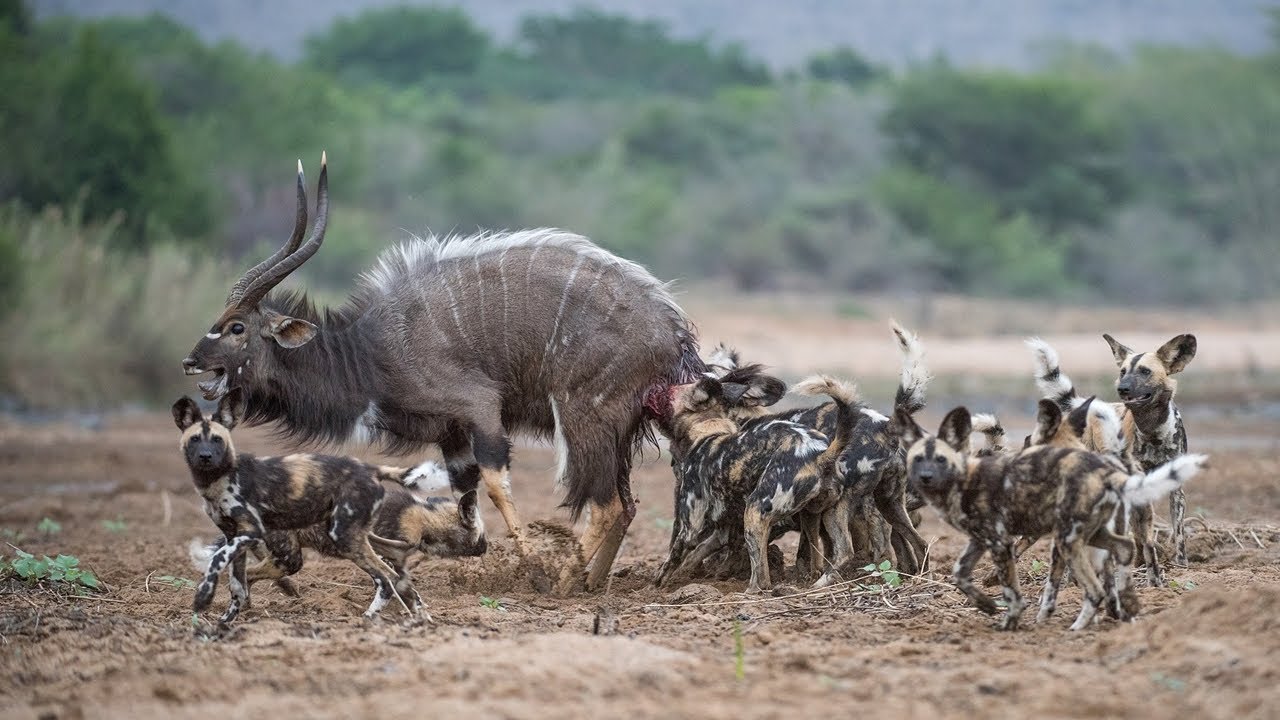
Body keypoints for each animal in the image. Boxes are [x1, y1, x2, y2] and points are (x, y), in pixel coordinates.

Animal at [181, 155, 704, 589]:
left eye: (236, 327)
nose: (190, 362)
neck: (371, 352)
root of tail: (673, 332)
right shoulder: (451, 435)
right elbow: (467, 504)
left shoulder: (480, 410)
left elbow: (494, 484)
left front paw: (533, 570)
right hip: (616, 430)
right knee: (625, 505)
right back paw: (591, 583)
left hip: (583, 417)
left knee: (606, 503)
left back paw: (564, 583)